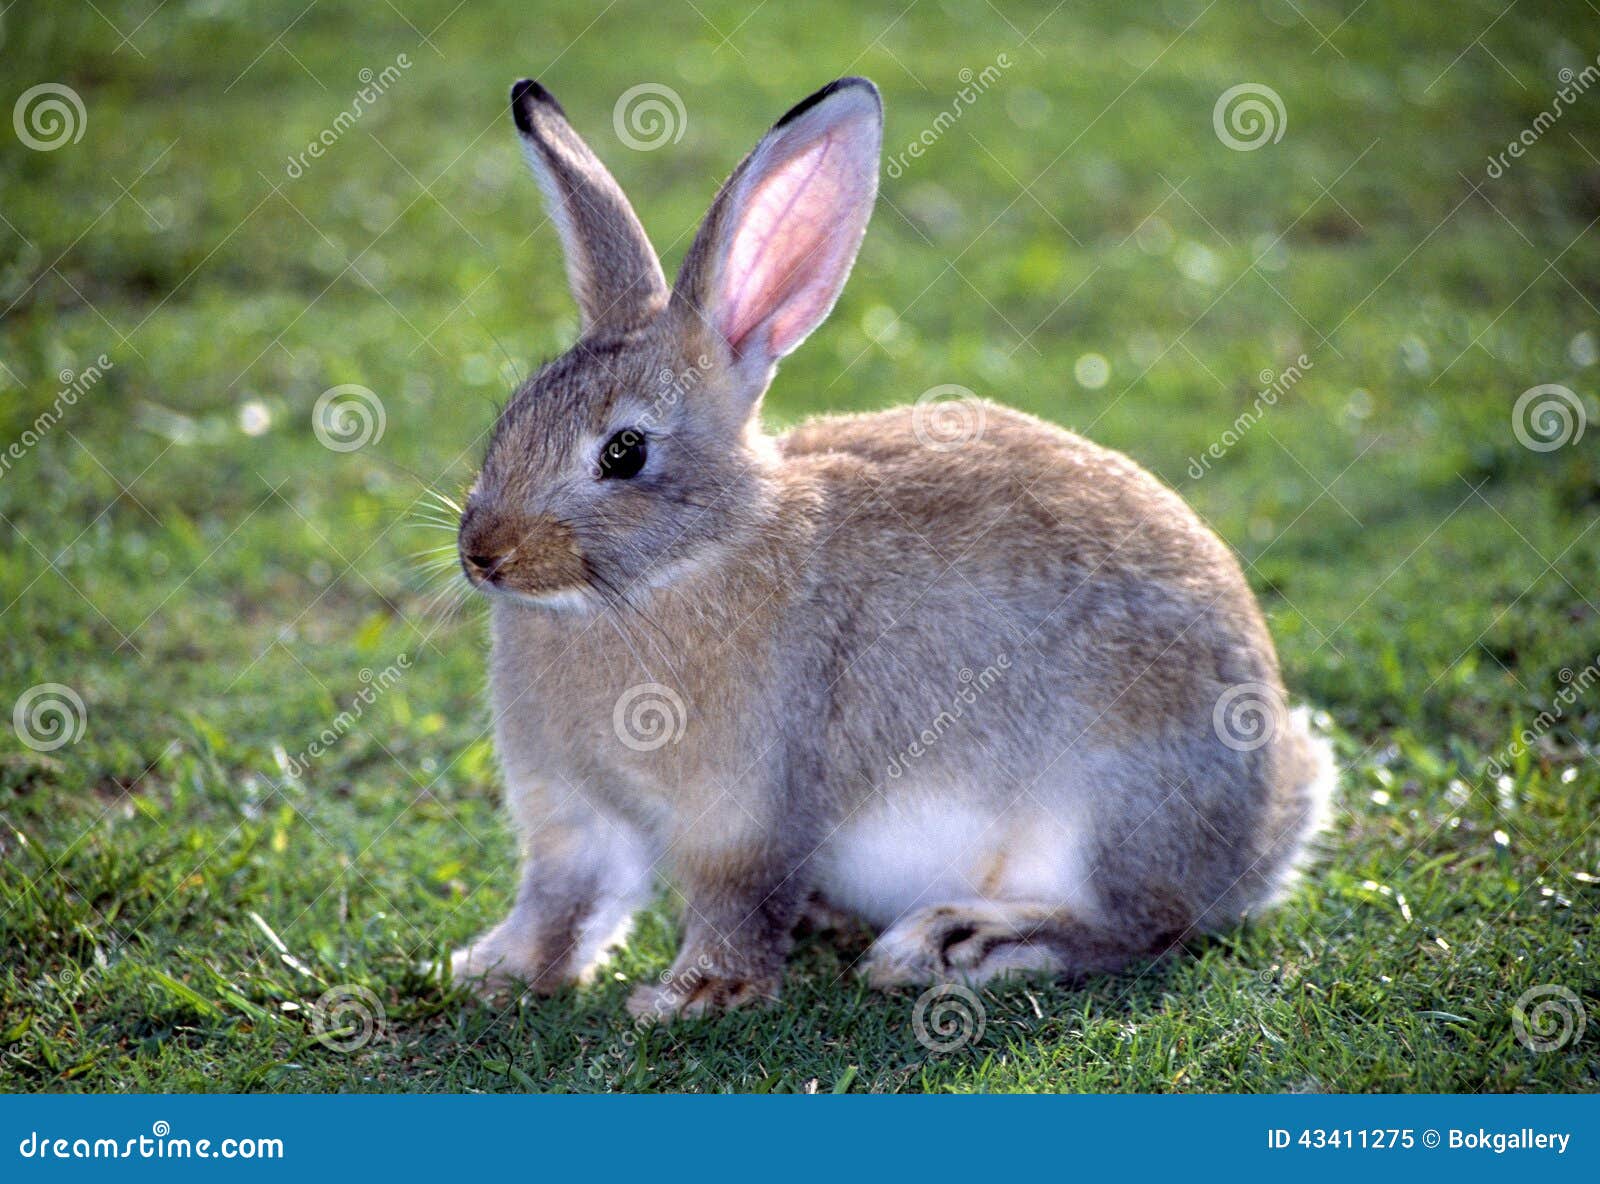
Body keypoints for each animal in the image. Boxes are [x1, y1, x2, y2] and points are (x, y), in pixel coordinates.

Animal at [446, 74, 1335, 1019]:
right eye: (511, 416)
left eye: (624, 452)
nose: (484, 553)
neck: (683, 561)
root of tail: (1265, 829)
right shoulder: (574, 817)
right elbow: (562, 901)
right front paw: (493, 972)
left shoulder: (750, 811)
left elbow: (736, 903)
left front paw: (690, 997)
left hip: (1105, 808)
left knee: (1144, 926)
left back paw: (951, 944)